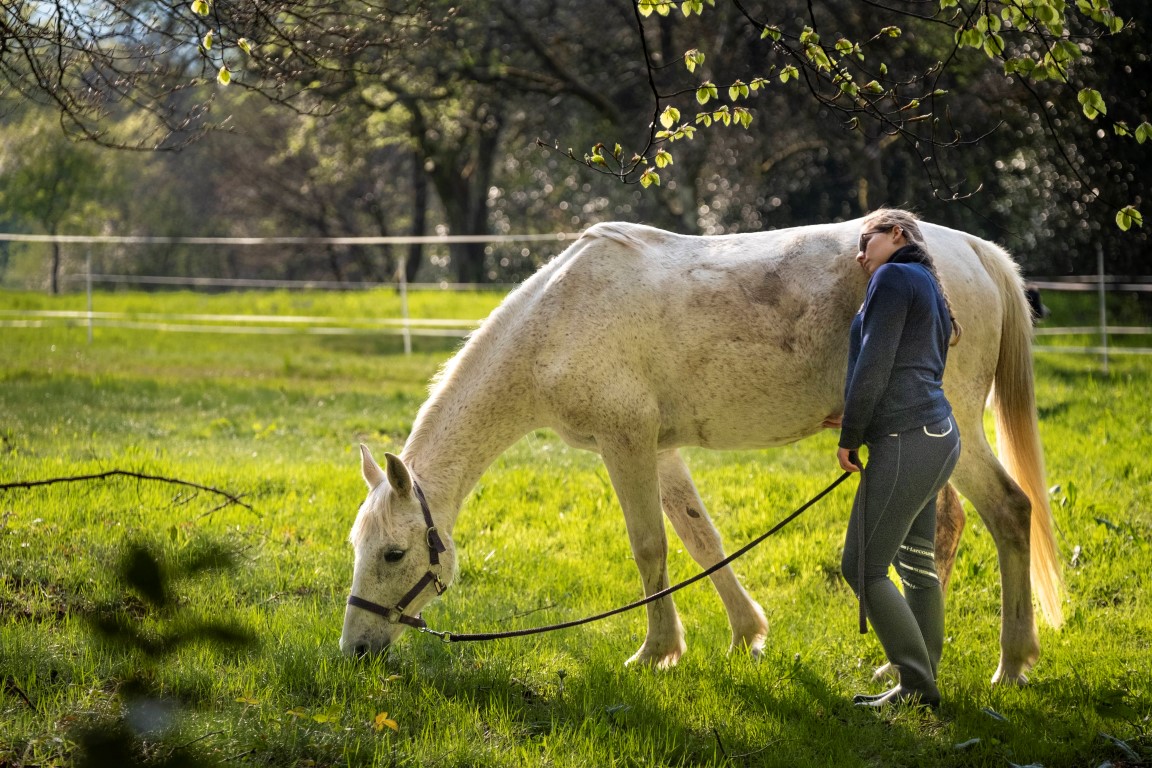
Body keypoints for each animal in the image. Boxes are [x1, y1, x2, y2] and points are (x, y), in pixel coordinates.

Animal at [340, 217, 1063, 685]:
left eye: (394, 553)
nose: (355, 648)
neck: (557, 321)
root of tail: (974, 250)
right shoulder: (658, 451)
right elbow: (701, 539)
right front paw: (747, 635)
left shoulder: (625, 442)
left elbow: (650, 547)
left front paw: (657, 652)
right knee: (945, 526)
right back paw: (906, 660)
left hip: (957, 430)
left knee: (1009, 513)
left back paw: (1012, 664)